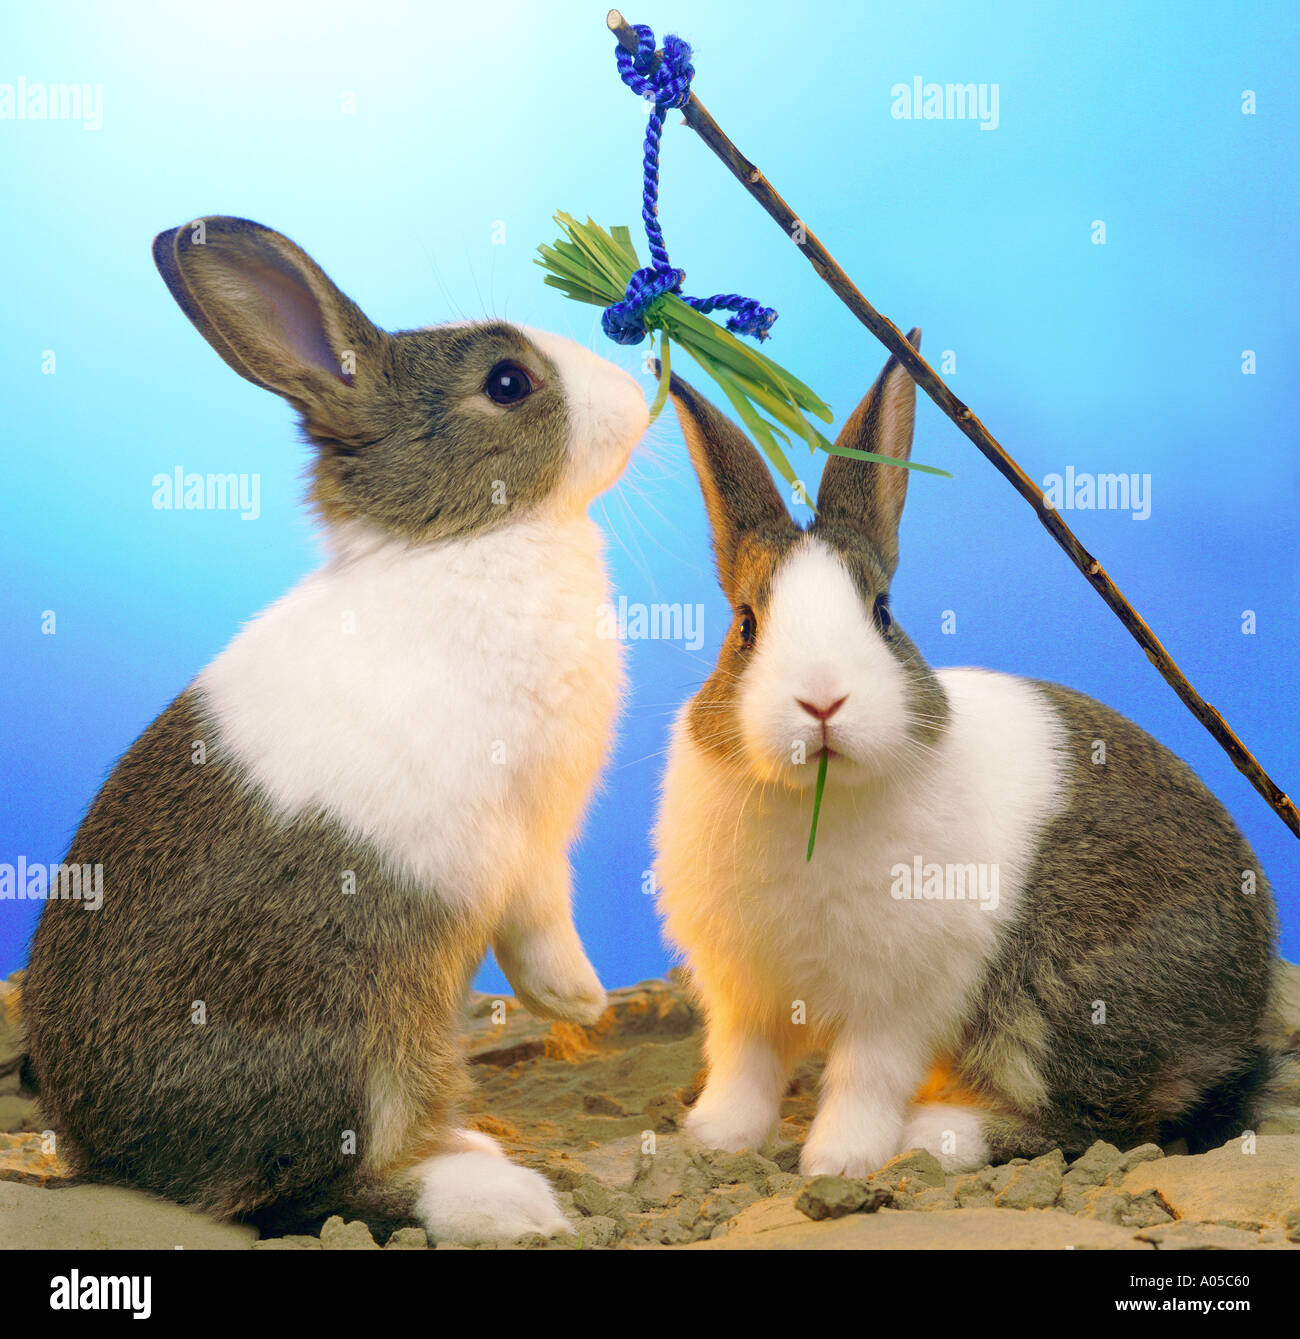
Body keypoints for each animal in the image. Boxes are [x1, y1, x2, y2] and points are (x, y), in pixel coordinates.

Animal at [22, 216, 649, 1243]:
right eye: (507, 383)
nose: (637, 397)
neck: (463, 539)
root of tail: (113, 1156)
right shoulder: (527, 833)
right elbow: (544, 917)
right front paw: (581, 997)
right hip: (346, 1045)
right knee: (301, 1192)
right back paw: (496, 1195)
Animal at [653, 331, 1279, 1177]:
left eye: (883, 613)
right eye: (746, 625)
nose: (822, 701)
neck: (815, 803)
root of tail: (1242, 1017)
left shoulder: (901, 1004)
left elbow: (865, 1077)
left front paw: (839, 1161)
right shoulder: (744, 995)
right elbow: (743, 1067)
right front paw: (716, 1139)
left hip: (1069, 997)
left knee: (1106, 1120)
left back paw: (939, 1133)